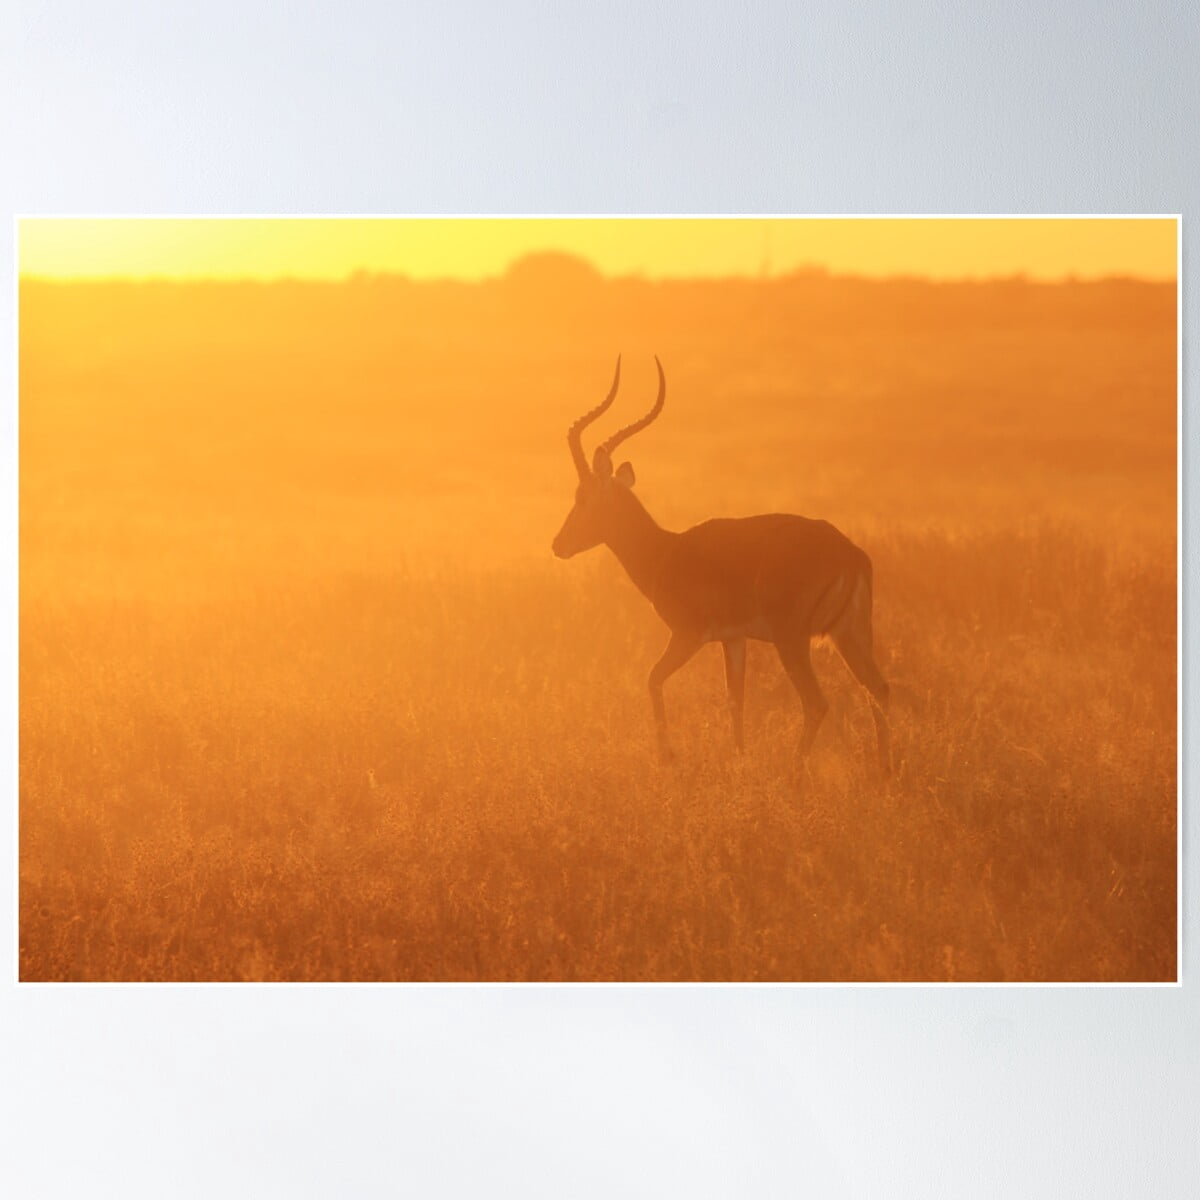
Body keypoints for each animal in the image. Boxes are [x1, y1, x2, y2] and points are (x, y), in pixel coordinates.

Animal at [551, 356, 890, 772]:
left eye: (582, 497)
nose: (559, 544)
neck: (665, 552)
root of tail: (848, 553)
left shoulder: (689, 634)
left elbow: (653, 679)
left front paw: (667, 758)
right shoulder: (734, 638)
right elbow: (735, 700)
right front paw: (739, 760)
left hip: (793, 640)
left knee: (817, 703)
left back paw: (794, 775)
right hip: (850, 634)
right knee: (878, 690)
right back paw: (884, 772)